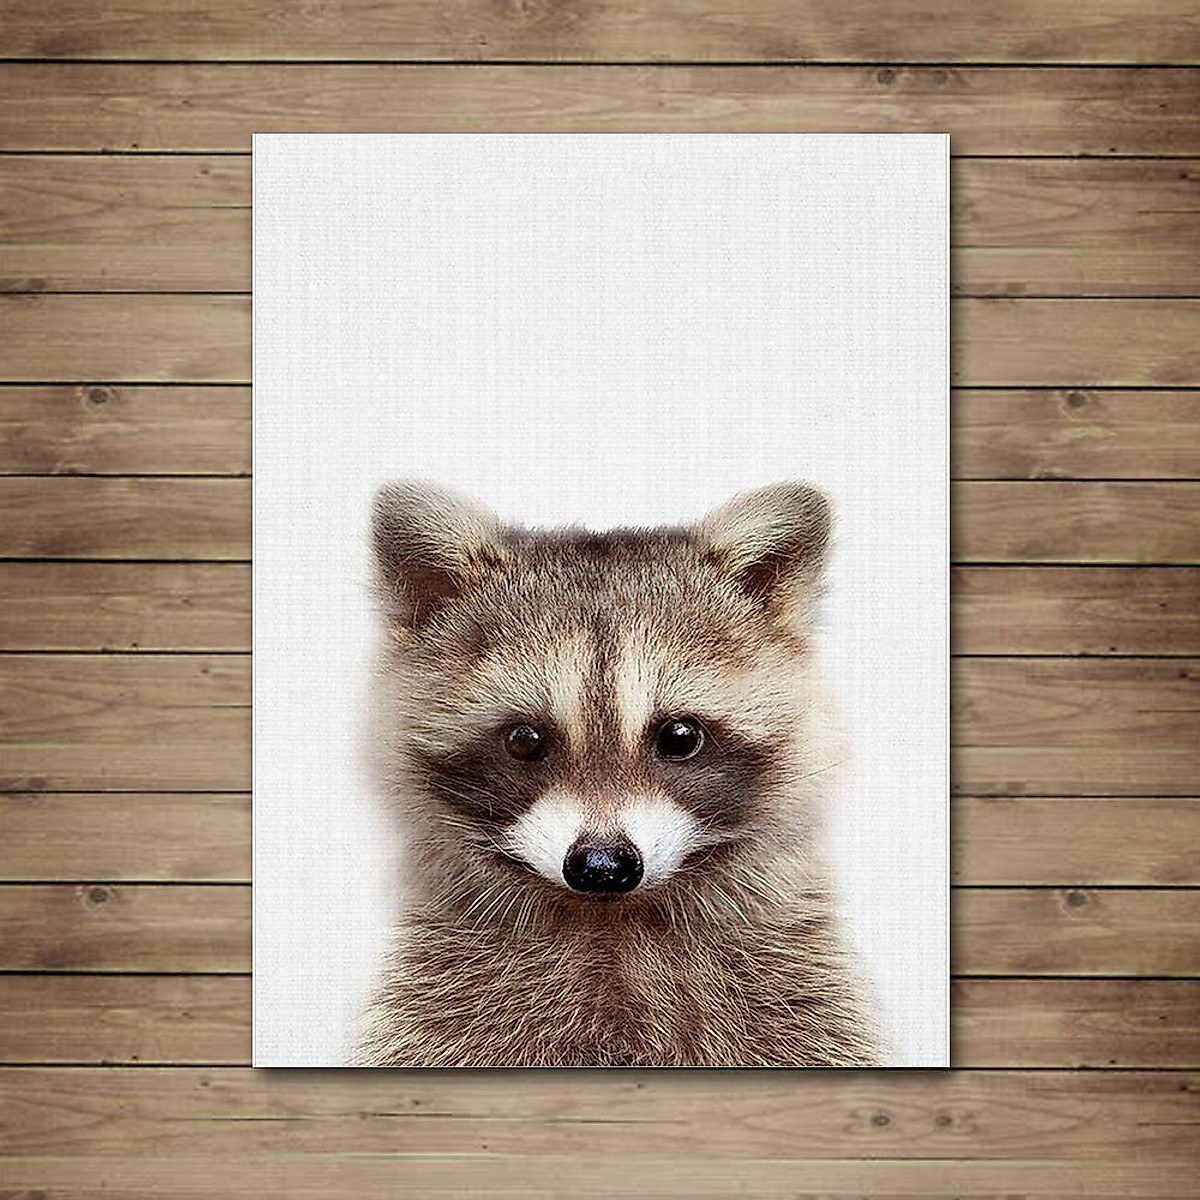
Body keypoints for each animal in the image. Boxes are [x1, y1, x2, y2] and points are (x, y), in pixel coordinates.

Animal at [356, 480, 881, 1067]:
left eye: (680, 736)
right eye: (524, 740)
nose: (602, 866)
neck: (612, 922)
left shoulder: (799, 989)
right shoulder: (438, 1004)